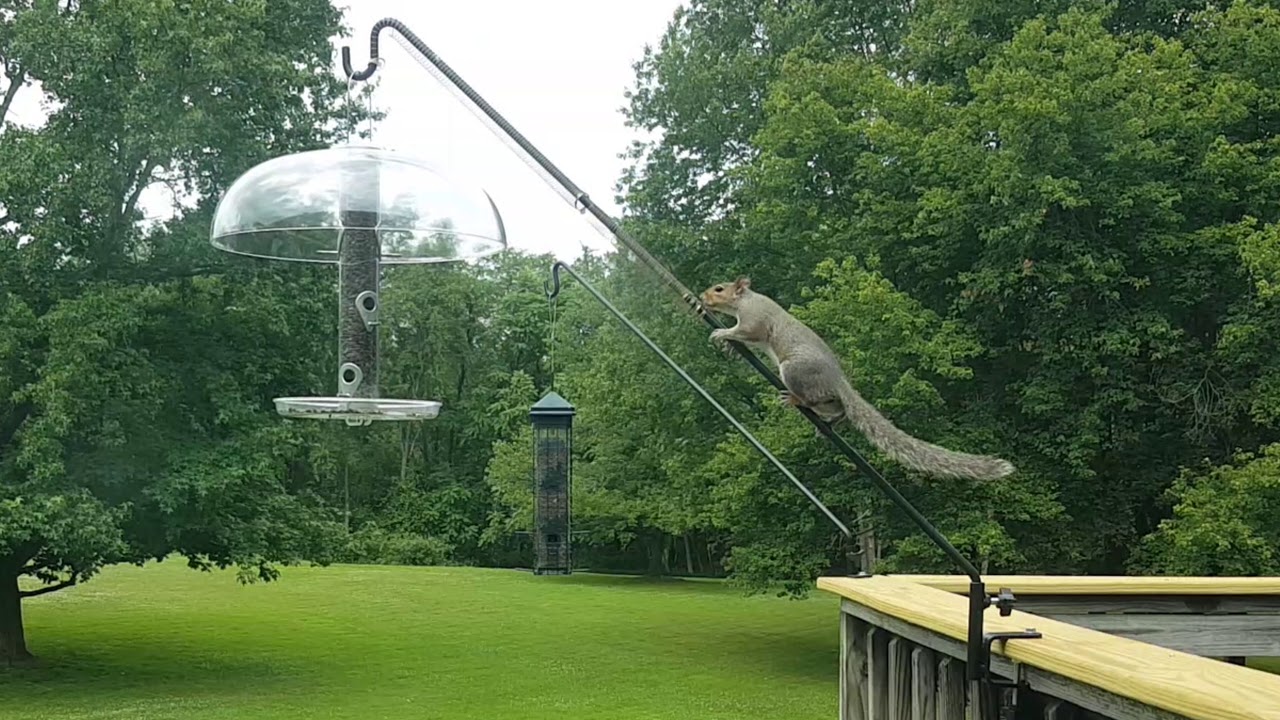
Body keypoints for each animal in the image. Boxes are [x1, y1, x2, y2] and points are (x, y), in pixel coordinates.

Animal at [700, 276, 1015, 481]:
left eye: (719, 289)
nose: (703, 298)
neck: (747, 300)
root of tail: (839, 380)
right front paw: (729, 345)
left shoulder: (754, 319)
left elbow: (747, 332)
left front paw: (722, 334)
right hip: (824, 394)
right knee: (835, 405)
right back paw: (831, 421)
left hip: (793, 370)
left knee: (811, 397)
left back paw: (796, 399)